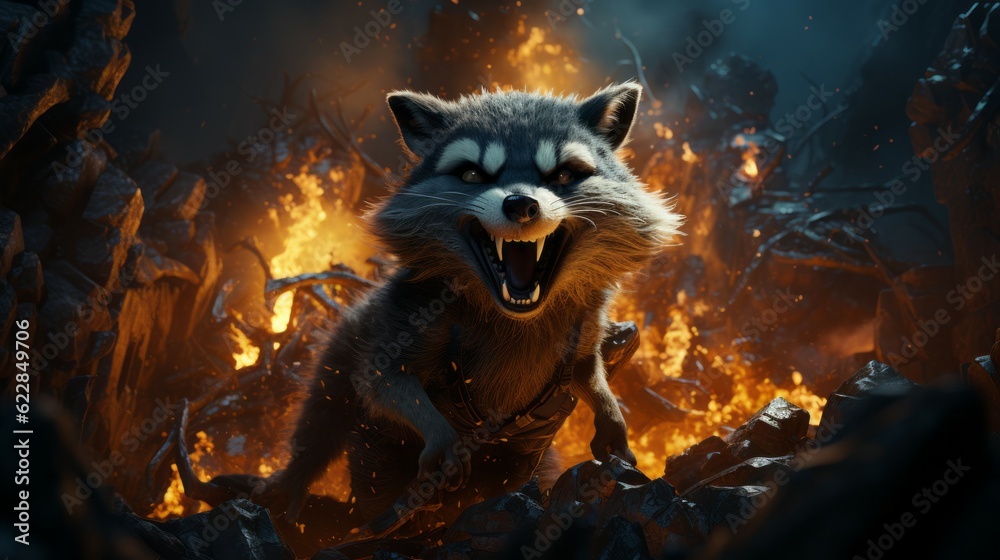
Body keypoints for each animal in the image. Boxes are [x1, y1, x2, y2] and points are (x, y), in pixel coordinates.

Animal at [258, 83, 682, 528]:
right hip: (345, 355)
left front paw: (609, 409)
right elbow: (382, 379)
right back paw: (297, 486)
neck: (517, 317)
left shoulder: (586, 323)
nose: (520, 204)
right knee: (322, 422)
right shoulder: (406, 315)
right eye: (473, 175)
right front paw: (438, 432)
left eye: (564, 174)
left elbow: (586, 367)